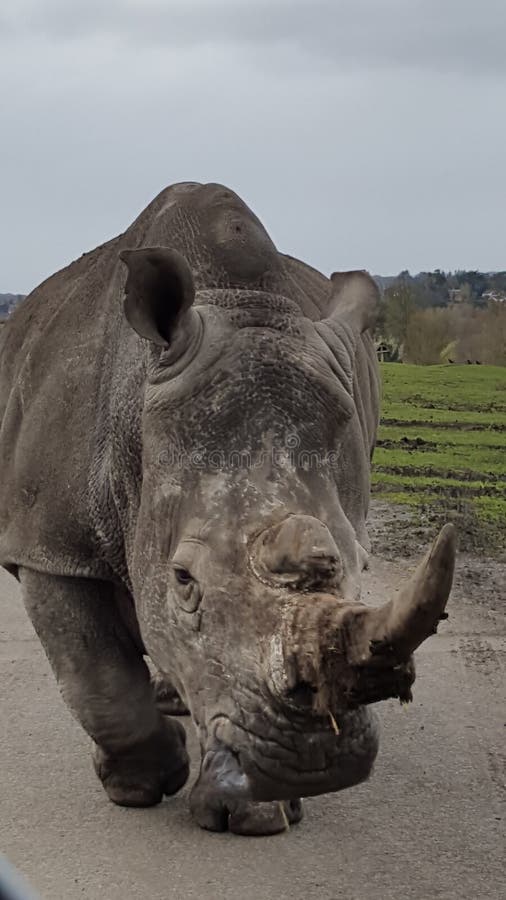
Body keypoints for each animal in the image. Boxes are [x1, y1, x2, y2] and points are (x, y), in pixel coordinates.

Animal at [0, 182, 455, 835]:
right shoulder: (49, 543)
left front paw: (255, 813)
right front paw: (142, 783)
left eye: (362, 567)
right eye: (183, 579)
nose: (314, 762)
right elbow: (95, 677)